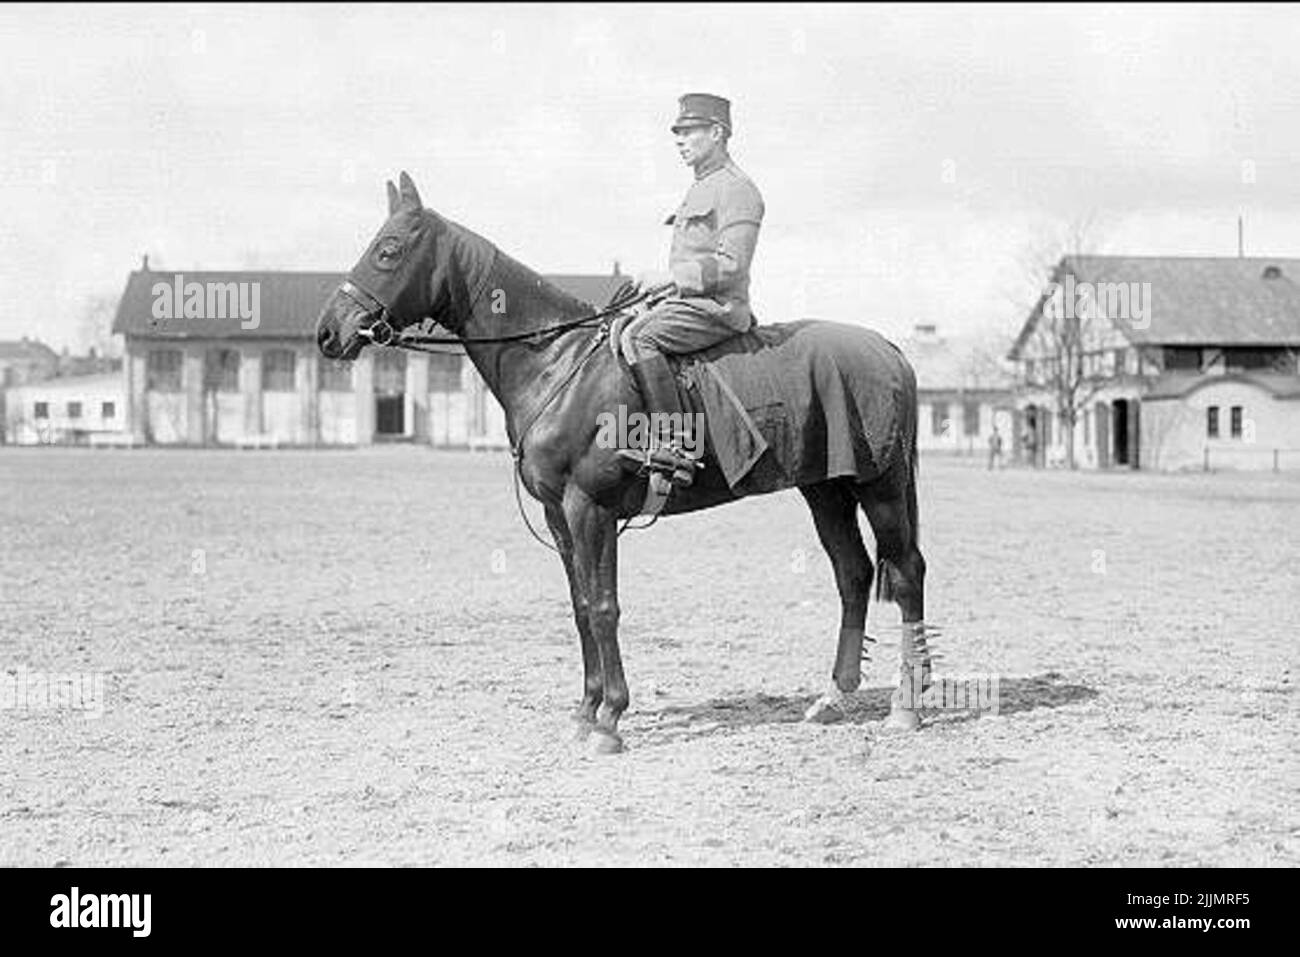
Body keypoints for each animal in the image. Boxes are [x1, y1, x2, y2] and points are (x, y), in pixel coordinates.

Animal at [316, 172, 932, 754]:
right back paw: (833, 697)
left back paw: (906, 707)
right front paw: (586, 710)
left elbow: (604, 607)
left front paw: (610, 718)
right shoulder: (560, 517)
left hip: (879, 488)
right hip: (826, 490)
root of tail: (888, 348)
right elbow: (581, 605)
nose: (328, 332)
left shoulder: (590, 509)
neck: (556, 365)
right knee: (852, 575)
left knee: (905, 574)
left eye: (388, 249)